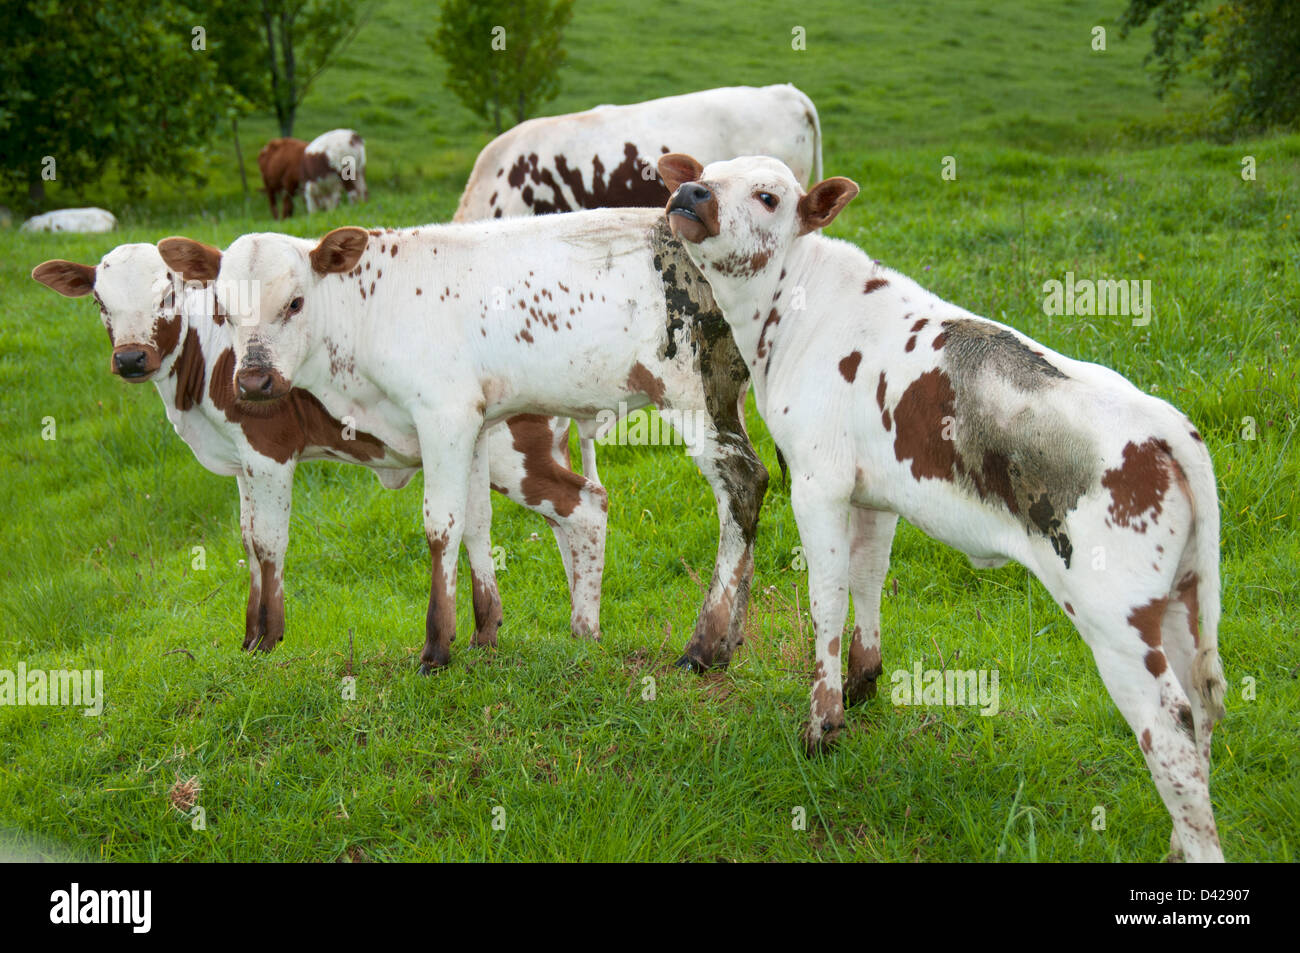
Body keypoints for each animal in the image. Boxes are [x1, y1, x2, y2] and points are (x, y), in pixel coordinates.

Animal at [31, 245, 611, 651]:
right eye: (100, 302)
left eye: (167, 296)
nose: (131, 359)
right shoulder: (242, 463)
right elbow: (247, 540)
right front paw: (248, 638)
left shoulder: (268, 450)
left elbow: (269, 542)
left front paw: (268, 639)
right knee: (546, 521)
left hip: (515, 453)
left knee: (582, 507)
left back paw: (583, 629)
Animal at [156, 210, 767, 676]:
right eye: (222, 310)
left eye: (295, 303)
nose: (254, 382)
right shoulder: (473, 424)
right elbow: (475, 522)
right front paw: (481, 636)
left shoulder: (442, 417)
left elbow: (440, 526)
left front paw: (435, 648)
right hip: (728, 397)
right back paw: (729, 637)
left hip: (694, 394)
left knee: (740, 484)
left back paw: (703, 646)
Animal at [658, 153, 1228, 863]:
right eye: (707, 171)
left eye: (767, 196)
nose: (692, 192)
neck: (788, 314)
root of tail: (1168, 425)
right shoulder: (873, 491)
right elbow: (868, 578)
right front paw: (863, 685)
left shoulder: (818, 480)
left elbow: (827, 597)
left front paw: (822, 727)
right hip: (1179, 599)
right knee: (1203, 709)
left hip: (1116, 619)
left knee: (1171, 726)